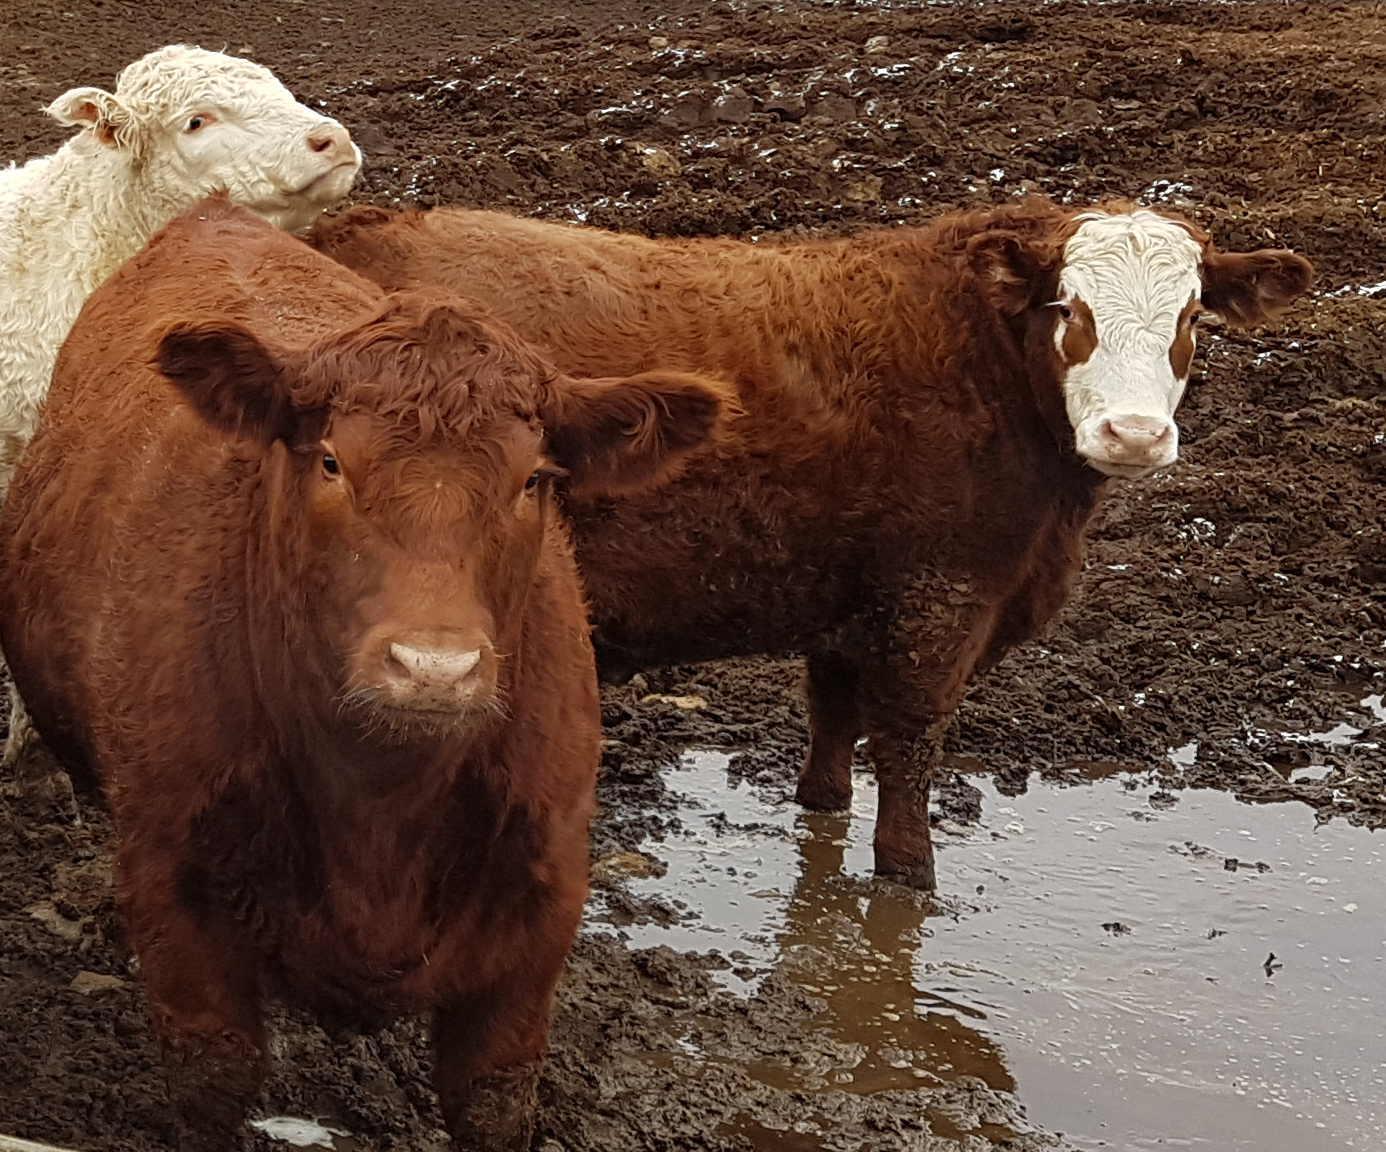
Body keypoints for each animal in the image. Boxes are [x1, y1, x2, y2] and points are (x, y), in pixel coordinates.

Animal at [0, 196, 729, 1151]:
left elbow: (494, 1096)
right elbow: (211, 1080)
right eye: (332, 461)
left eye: (533, 478)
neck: (377, 806)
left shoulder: (543, 901)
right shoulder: (171, 881)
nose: (434, 667)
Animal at [311, 198, 1314, 891]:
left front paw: (823, 810)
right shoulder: (942, 599)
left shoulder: (849, 599)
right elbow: (911, 738)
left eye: (1192, 318)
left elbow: (835, 719)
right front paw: (909, 874)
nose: (1134, 434)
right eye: (1068, 309)